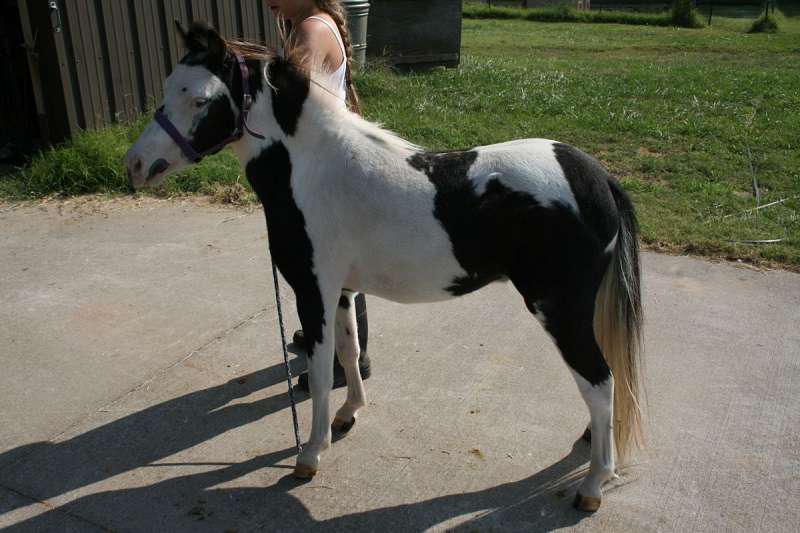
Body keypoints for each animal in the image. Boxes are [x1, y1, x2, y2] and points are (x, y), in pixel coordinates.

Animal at [124, 22, 644, 513]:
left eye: (200, 98)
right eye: (168, 86)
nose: (135, 165)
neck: (314, 170)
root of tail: (597, 177)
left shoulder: (312, 291)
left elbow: (318, 371)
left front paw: (310, 455)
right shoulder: (341, 292)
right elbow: (350, 352)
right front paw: (349, 413)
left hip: (558, 309)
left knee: (599, 380)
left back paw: (593, 485)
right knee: (604, 381)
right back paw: (589, 446)